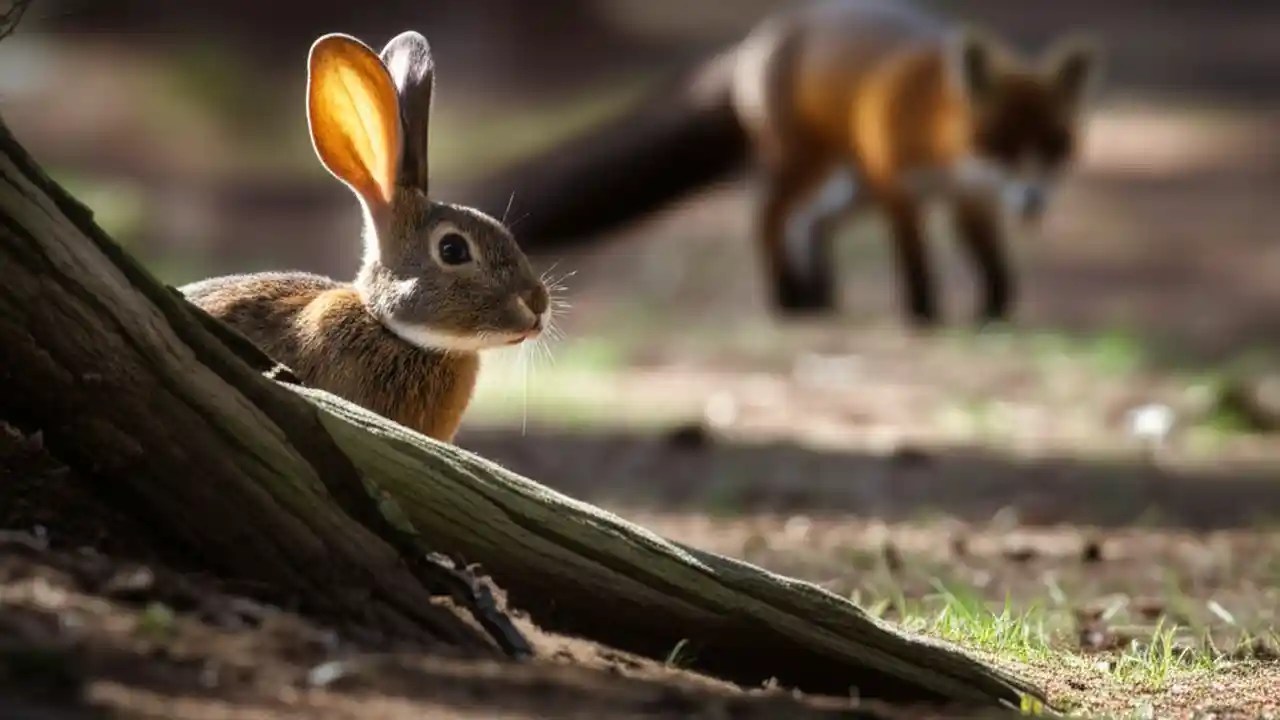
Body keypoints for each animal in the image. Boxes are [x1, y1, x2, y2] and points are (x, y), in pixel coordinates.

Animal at [470, 0, 1102, 326]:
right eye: (1001, 144)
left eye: (1053, 146)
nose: (1033, 203)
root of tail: (768, 32)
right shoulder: (900, 189)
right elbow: (916, 261)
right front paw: (925, 314)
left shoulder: (973, 197)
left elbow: (992, 262)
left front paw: (995, 312)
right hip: (814, 167)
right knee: (771, 219)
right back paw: (788, 298)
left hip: (848, 185)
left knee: (809, 223)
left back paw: (819, 294)